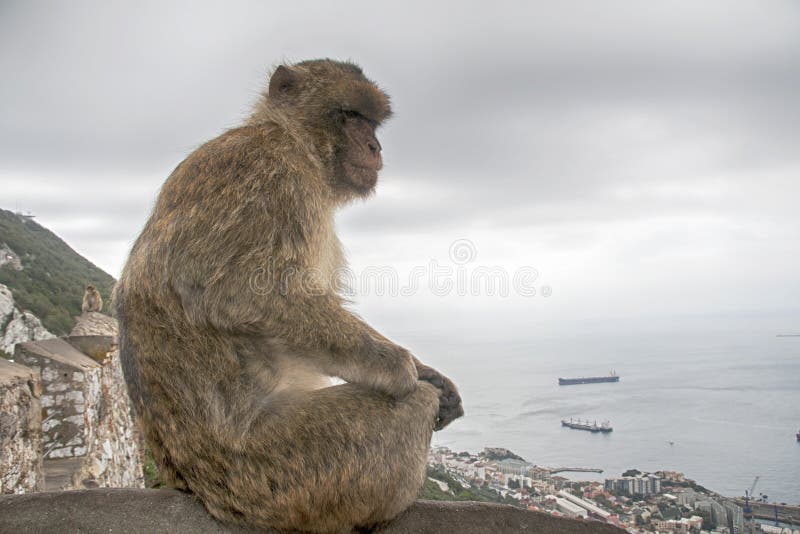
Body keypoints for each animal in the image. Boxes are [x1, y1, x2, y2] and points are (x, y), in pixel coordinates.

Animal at [113, 59, 463, 533]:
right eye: (350, 115)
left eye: (372, 122)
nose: (374, 145)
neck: (294, 140)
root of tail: (196, 489)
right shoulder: (265, 170)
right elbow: (235, 288)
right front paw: (399, 368)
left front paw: (432, 375)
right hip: (280, 472)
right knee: (405, 410)